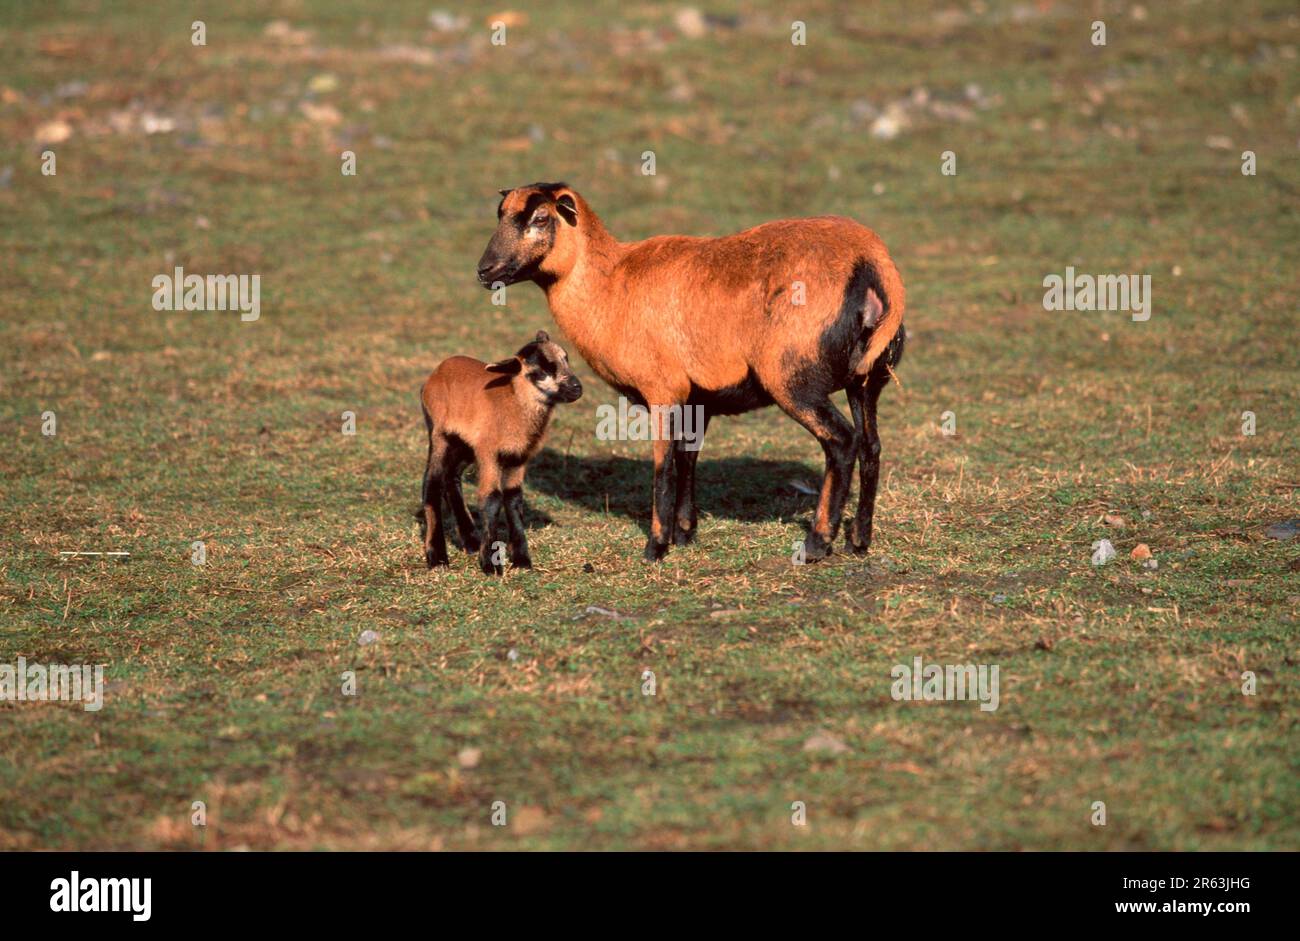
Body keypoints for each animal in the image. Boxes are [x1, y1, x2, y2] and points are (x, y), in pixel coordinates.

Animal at [419, 330, 582, 575]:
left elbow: (514, 499)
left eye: (566, 359)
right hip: (440, 434)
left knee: (451, 477)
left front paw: (522, 560)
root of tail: (437, 372)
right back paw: (437, 557)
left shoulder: (519, 458)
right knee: (432, 481)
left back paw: (471, 541)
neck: (512, 404)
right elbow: (491, 500)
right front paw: (490, 565)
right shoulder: (490, 455)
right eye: (541, 371)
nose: (576, 388)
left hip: (464, 445)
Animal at [476, 183, 906, 563]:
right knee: (870, 447)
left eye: (540, 218)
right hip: (868, 379)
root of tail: (873, 263)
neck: (608, 286)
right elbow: (687, 456)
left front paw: (656, 547)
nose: (485, 271)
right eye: (500, 214)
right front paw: (684, 532)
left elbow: (663, 466)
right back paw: (859, 540)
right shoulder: (697, 398)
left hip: (793, 379)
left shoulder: (662, 390)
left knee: (842, 442)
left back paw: (818, 542)